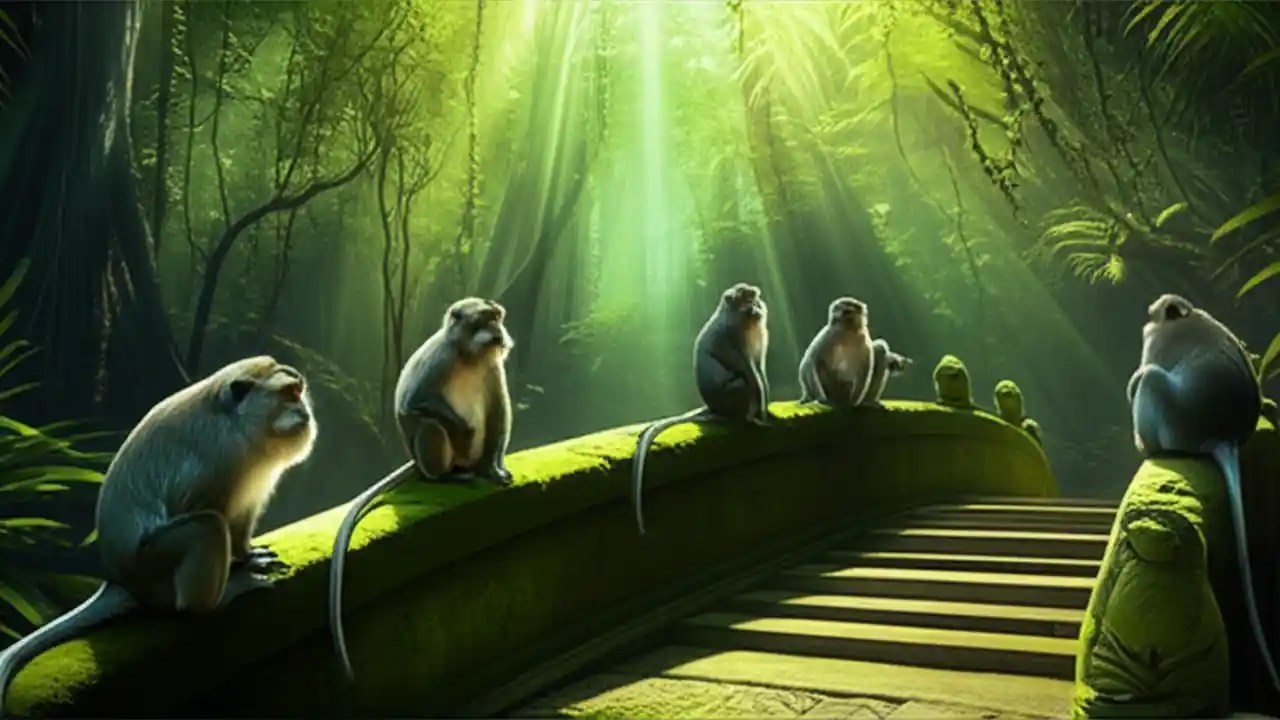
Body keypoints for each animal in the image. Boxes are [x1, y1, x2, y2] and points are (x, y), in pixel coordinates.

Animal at [0, 356, 316, 715]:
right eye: (289, 394)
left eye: (299, 391)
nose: (303, 410)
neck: (238, 422)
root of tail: (123, 580)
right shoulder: (219, 458)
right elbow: (201, 510)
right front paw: (237, 569)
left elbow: (242, 515)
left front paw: (246, 555)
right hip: (150, 562)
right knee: (206, 527)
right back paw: (214, 601)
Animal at [328, 297, 514, 683]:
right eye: (486, 320)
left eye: (497, 319)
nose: (500, 334)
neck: (470, 356)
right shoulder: (438, 360)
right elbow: (412, 402)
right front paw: (462, 430)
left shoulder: (492, 368)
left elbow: (498, 414)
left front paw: (495, 469)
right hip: (431, 454)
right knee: (431, 427)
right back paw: (447, 476)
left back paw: (480, 469)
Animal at [630, 283, 769, 536]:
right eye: (744, 296)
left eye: (754, 299)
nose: (755, 299)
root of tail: (714, 408)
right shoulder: (733, 340)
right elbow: (749, 371)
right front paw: (761, 408)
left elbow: (760, 370)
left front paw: (767, 405)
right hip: (731, 395)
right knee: (741, 382)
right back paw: (748, 419)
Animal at [1125, 293, 1278, 695]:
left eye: (1157, 310)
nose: (1149, 309)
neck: (1187, 315)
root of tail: (1221, 436)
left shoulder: (1156, 339)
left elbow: (1142, 372)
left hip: (1172, 418)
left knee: (1151, 378)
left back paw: (1147, 447)